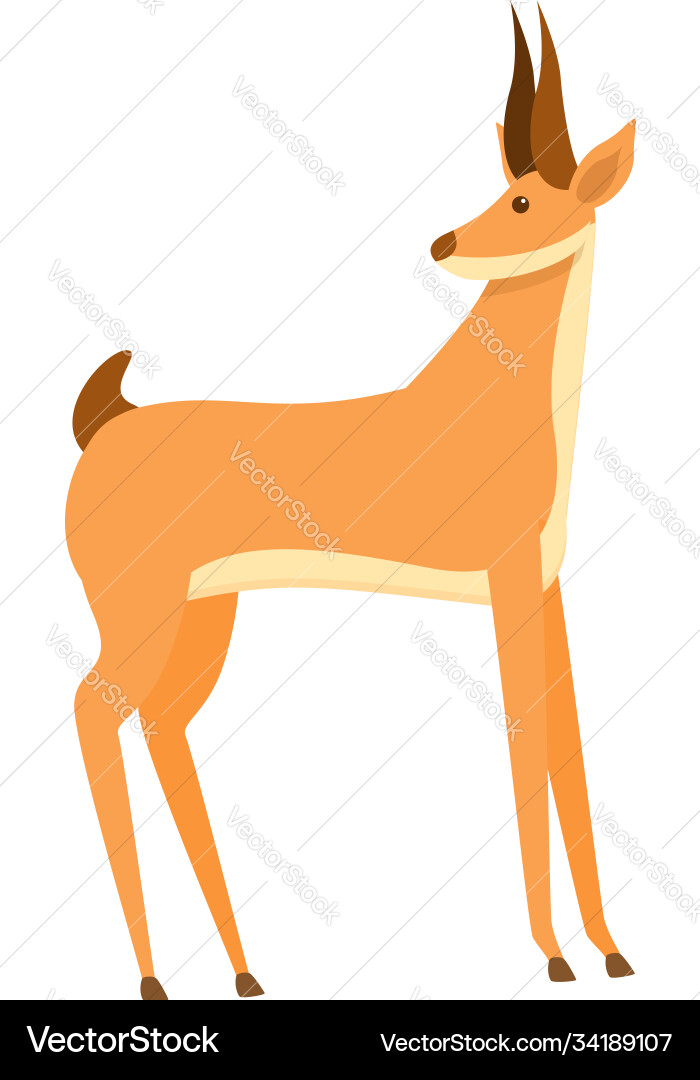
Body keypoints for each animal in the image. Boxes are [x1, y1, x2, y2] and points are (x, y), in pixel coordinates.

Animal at [67, 5, 636, 999]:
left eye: (524, 200)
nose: (445, 244)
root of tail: (101, 427)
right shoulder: (507, 584)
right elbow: (526, 737)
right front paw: (556, 954)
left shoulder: (546, 584)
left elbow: (567, 745)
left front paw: (610, 948)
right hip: (138, 617)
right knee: (93, 709)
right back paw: (153, 979)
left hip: (202, 621)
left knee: (161, 726)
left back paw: (243, 972)